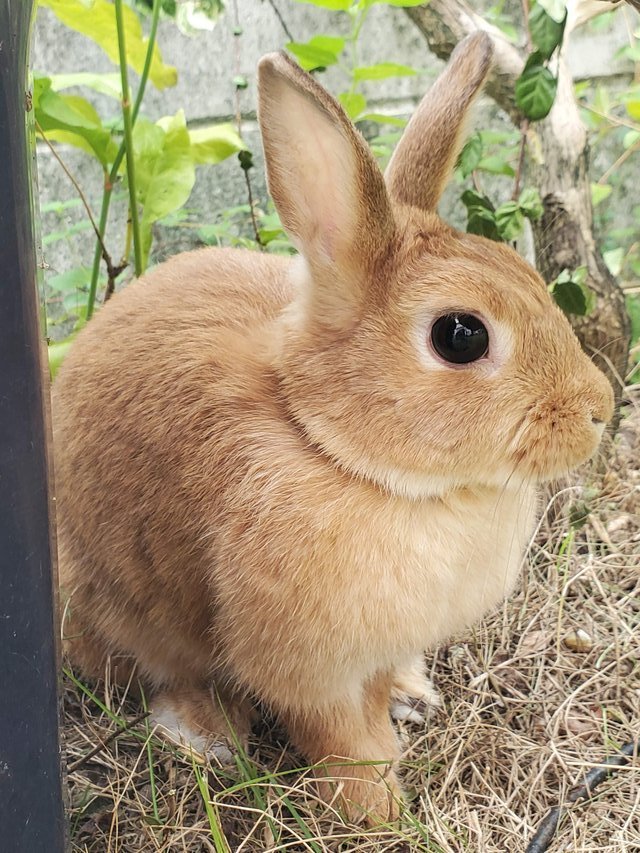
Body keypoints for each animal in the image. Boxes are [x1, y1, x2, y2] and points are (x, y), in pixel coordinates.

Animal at [52, 31, 614, 824]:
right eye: (462, 336)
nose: (600, 410)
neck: (333, 447)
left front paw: (399, 723)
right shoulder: (311, 671)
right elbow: (340, 733)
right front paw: (377, 810)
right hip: (117, 609)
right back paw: (203, 729)